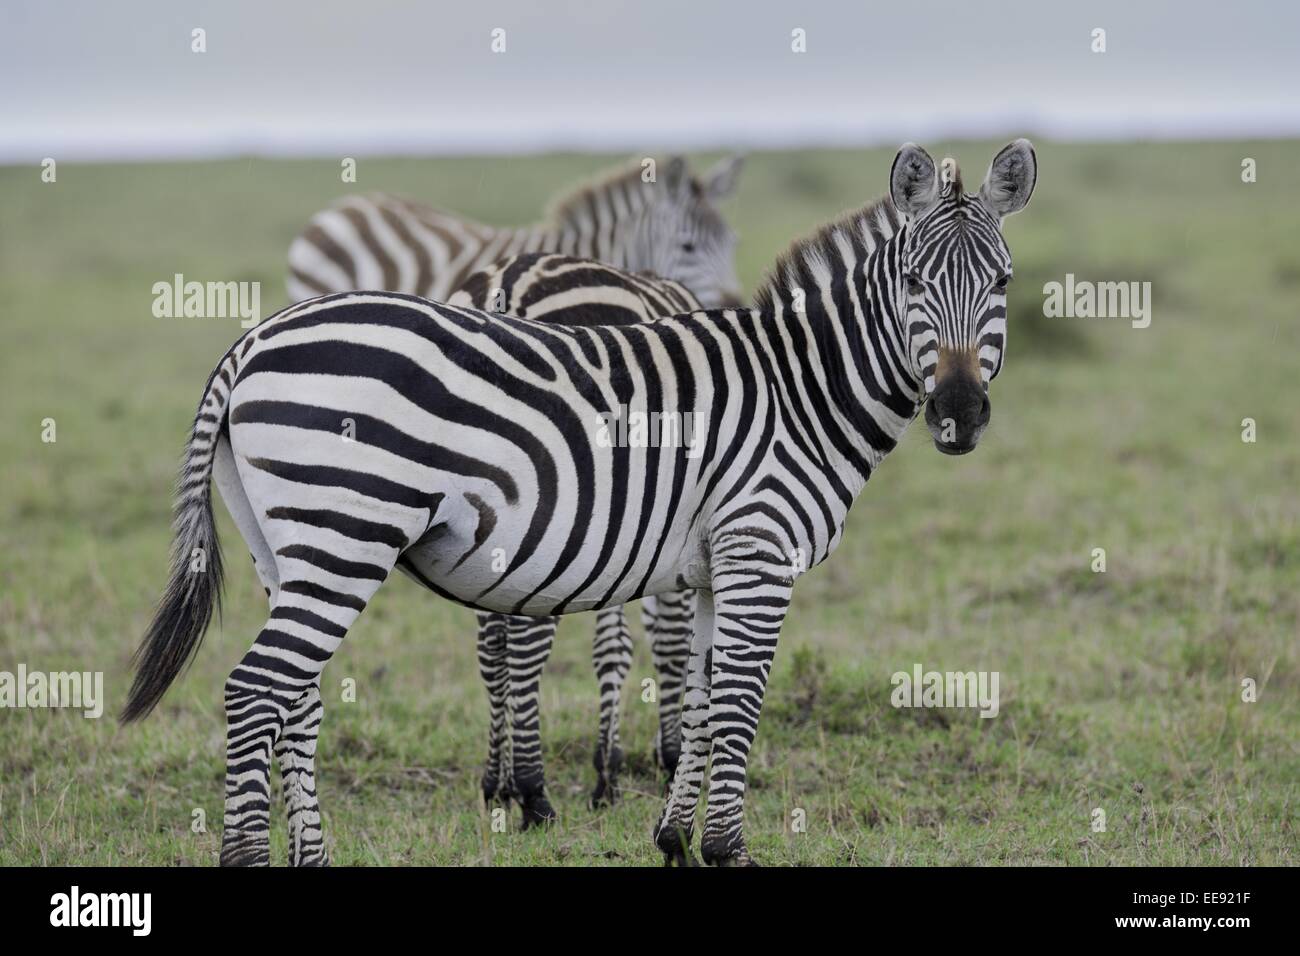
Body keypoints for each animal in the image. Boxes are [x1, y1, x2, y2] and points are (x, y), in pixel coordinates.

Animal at [447, 253, 702, 825]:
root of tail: (504, 289)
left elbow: (614, 646)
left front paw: (610, 768)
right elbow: (663, 643)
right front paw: (651, 763)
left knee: (491, 645)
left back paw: (496, 784)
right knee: (524, 643)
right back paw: (534, 793)